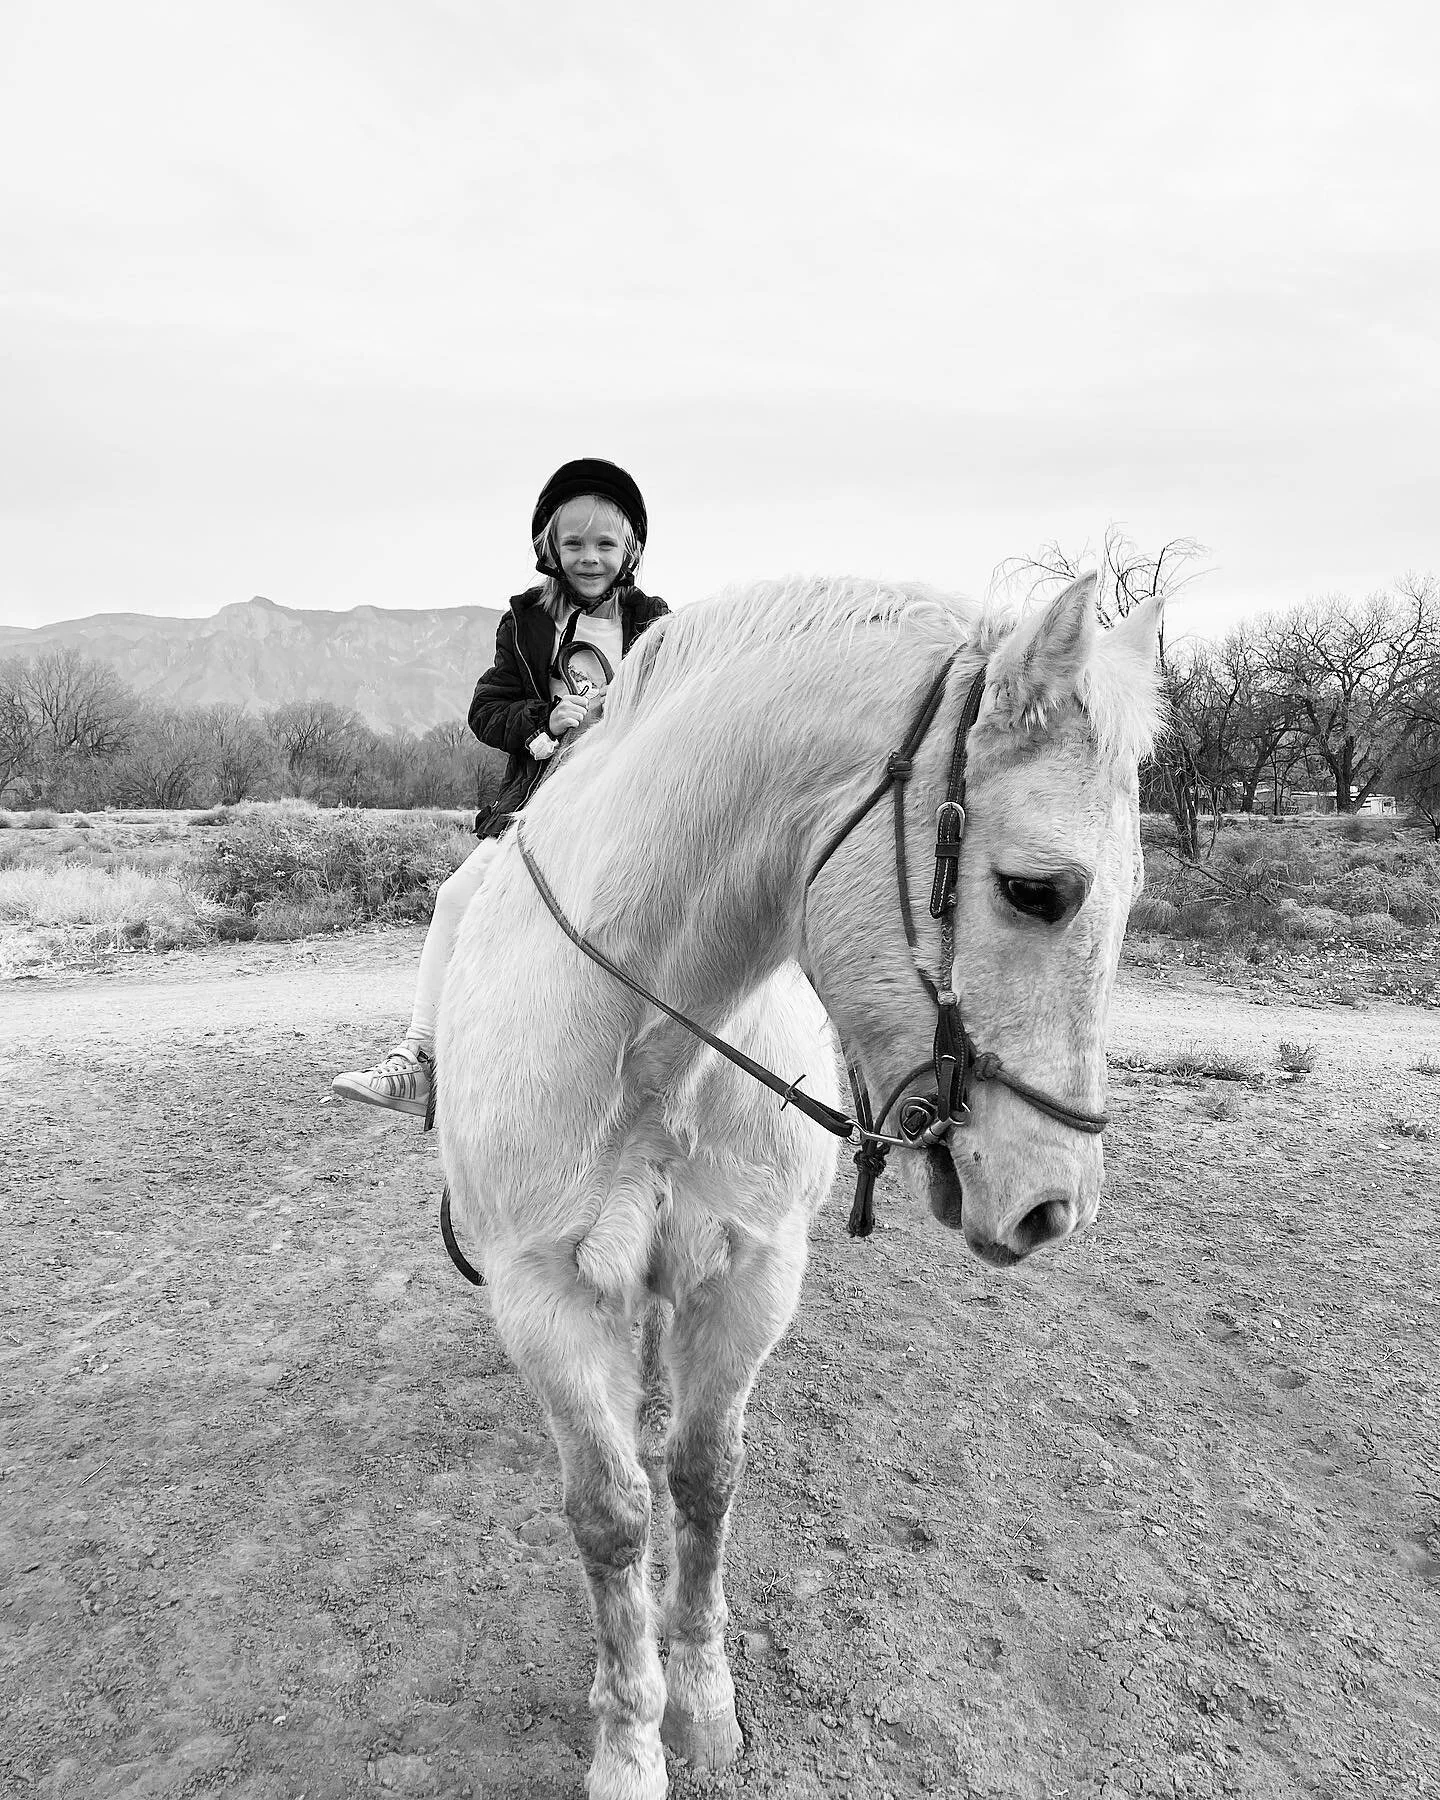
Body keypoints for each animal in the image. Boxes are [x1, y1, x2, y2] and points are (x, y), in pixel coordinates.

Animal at [436, 570, 1163, 1800]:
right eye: (1038, 892)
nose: (1054, 1207)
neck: (650, 1047)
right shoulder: (544, 1298)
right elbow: (612, 1516)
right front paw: (629, 1744)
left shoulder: (753, 1274)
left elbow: (703, 1480)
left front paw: (703, 1706)